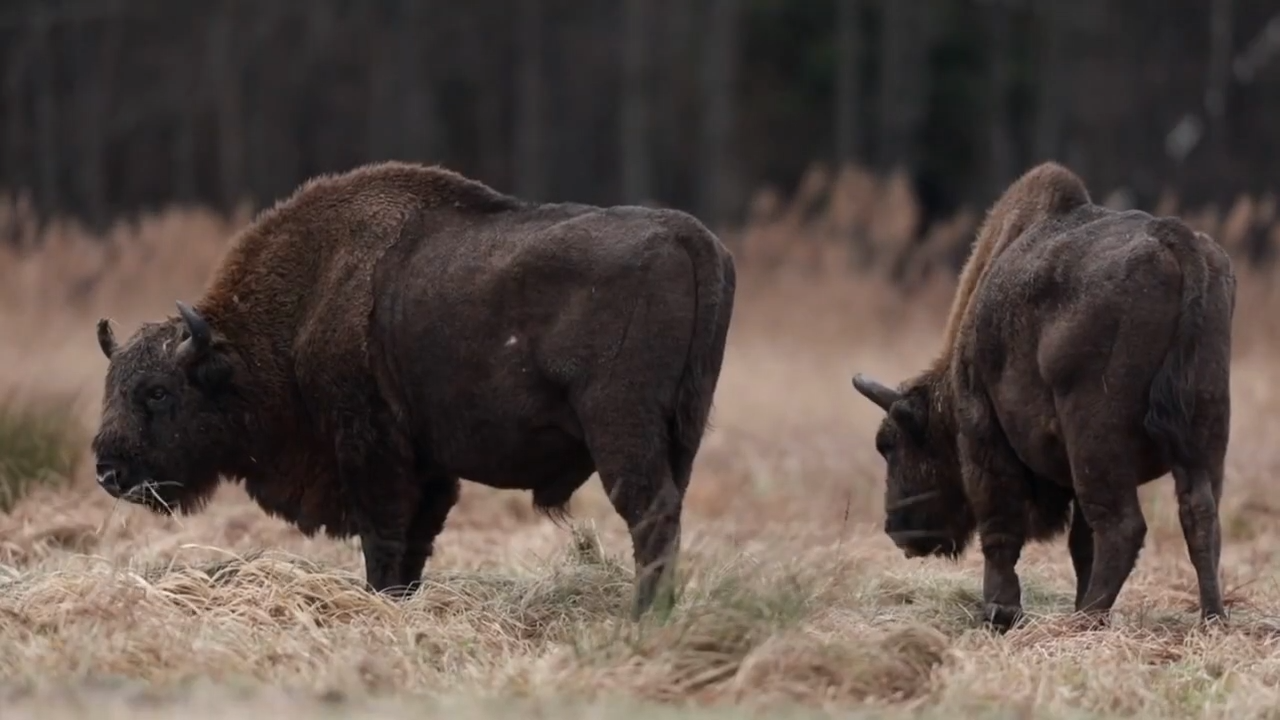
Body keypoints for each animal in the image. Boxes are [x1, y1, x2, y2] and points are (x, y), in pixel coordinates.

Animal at [92, 160, 737, 619]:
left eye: (157, 392)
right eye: (113, 385)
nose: (108, 469)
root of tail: (692, 238)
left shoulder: (372, 452)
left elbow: (385, 540)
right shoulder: (427, 467)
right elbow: (414, 547)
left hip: (620, 428)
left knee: (649, 516)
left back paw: (641, 618)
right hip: (682, 433)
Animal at [851, 161, 1236, 630]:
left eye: (889, 443)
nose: (897, 528)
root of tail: (1173, 238)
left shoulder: (983, 435)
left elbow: (1000, 529)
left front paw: (999, 611)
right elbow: (1081, 543)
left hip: (1096, 440)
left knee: (1124, 526)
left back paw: (1086, 619)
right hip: (1203, 436)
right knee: (1199, 515)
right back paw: (1209, 617)